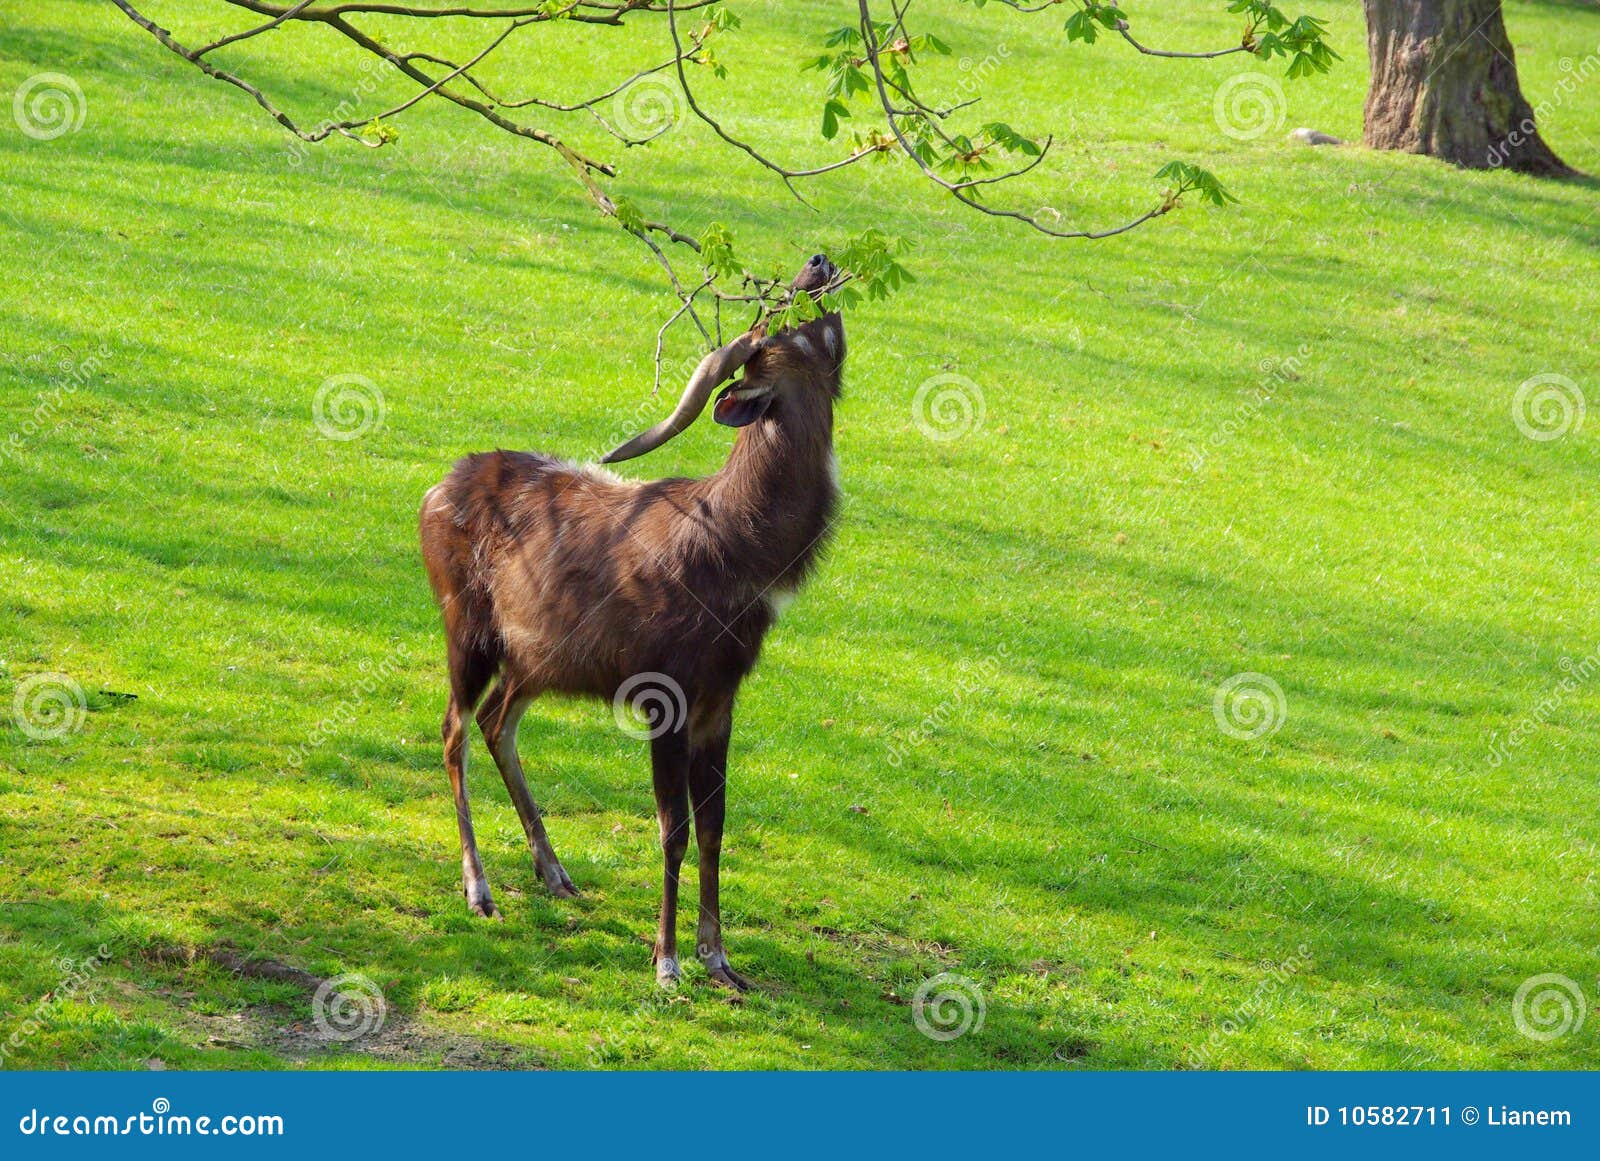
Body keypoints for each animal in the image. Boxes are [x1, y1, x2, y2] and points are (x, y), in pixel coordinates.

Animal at [419, 254, 844, 988]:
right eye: (776, 319)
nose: (818, 261)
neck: (742, 562)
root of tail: (433, 490)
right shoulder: (663, 690)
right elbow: (673, 827)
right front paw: (667, 961)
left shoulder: (721, 697)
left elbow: (716, 824)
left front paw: (720, 959)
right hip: (465, 625)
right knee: (453, 729)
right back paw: (480, 890)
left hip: (535, 659)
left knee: (497, 719)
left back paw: (556, 872)